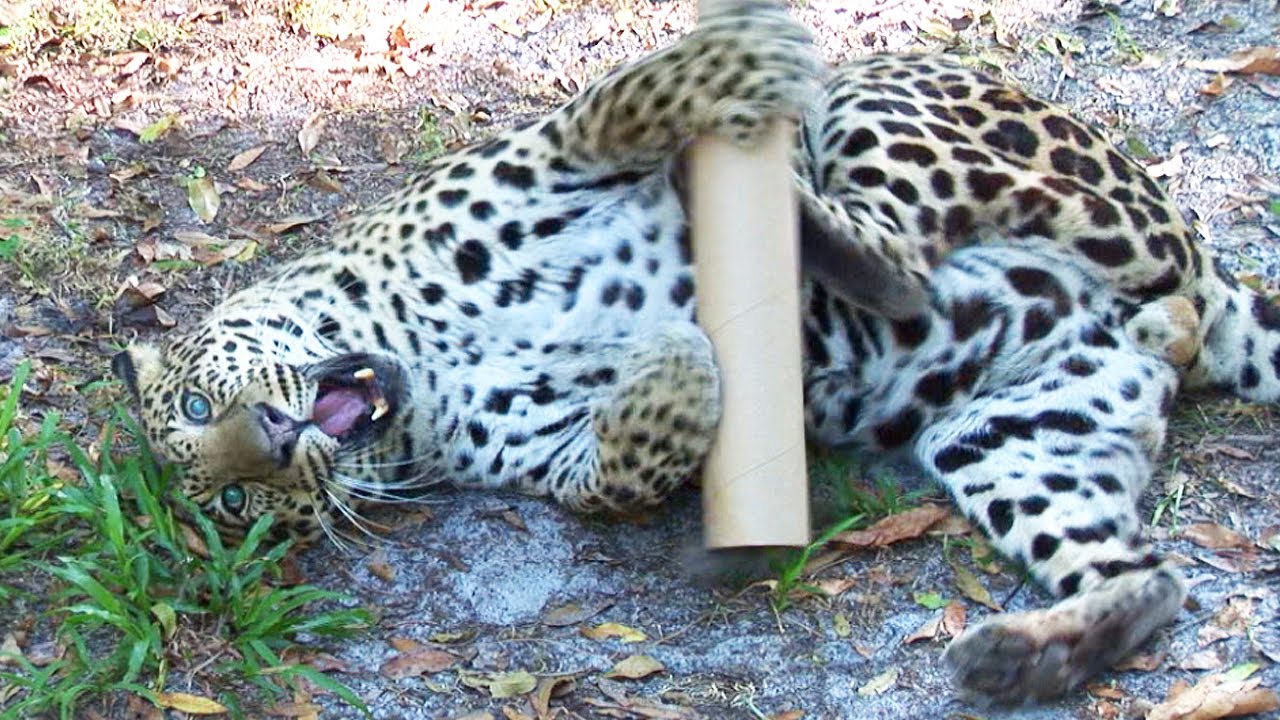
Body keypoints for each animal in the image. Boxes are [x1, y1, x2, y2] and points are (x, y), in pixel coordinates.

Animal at [111, 0, 1280, 705]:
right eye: (236, 504)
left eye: (202, 404)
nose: (270, 438)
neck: (418, 362)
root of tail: (1195, 291)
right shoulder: (557, 458)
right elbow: (617, 478)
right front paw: (674, 364)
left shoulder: (556, 150)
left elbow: (628, 93)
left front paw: (744, 47)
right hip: (1023, 435)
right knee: (1151, 577)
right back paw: (1018, 658)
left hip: (900, 110)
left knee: (893, 235)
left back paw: (773, 148)